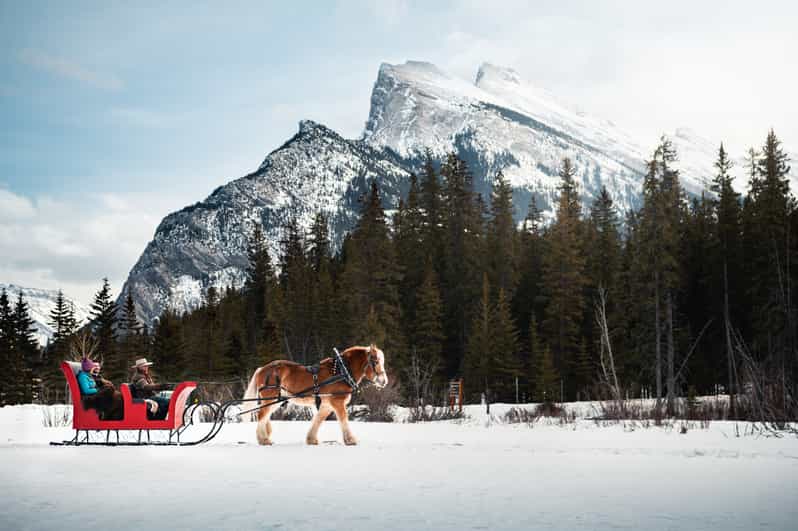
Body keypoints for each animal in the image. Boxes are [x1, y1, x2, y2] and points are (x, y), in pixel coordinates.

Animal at [242, 344, 388, 446]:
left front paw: (311, 439)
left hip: (276, 400)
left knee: (265, 415)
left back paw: (266, 437)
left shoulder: (326, 405)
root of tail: (262, 369)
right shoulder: (337, 402)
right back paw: (263, 439)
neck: (342, 371)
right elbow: (343, 420)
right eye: (375, 361)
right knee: (261, 415)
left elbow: (317, 420)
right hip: (270, 398)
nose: (384, 381)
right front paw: (351, 440)